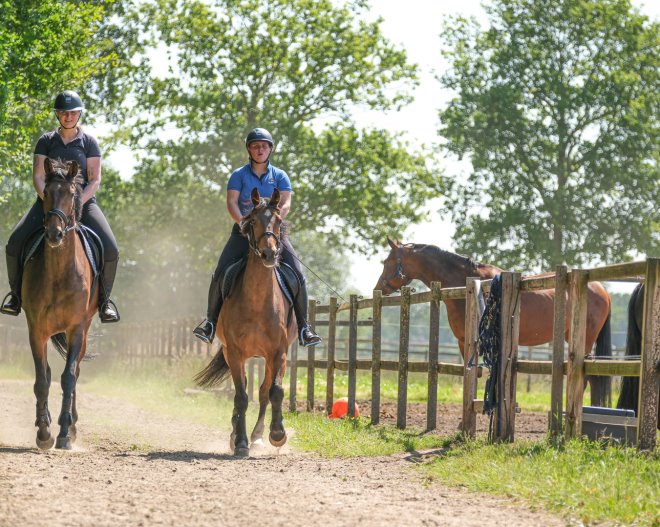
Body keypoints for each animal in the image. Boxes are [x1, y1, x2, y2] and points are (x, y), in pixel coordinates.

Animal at [22, 158, 99, 450]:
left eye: (72, 193)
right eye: (46, 192)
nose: (54, 234)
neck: (58, 274)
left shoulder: (76, 328)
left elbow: (68, 378)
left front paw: (65, 433)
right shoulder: (36, 330)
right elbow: (42, 380)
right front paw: (44, 434)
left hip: (85, 330)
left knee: (75, 372)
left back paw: (72, 425)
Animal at [195, 188, 296, 456]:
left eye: (279, 221)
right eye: (253, 222)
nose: (270, 254)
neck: (258, 300)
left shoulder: (278, 353)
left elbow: (275, 391)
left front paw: (277, 434)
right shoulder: (235, 352)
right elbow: (240, 396)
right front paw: (240, 442)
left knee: (263, 393)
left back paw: (259, 436)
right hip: (234, 355)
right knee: (244, 391)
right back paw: (236, 435)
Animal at [375, 238, 613, 406]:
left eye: (387, 262)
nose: (378, 287)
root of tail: (601, 289)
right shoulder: (464, 342)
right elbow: (470, 375)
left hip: (584, 342)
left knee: (585, 377)